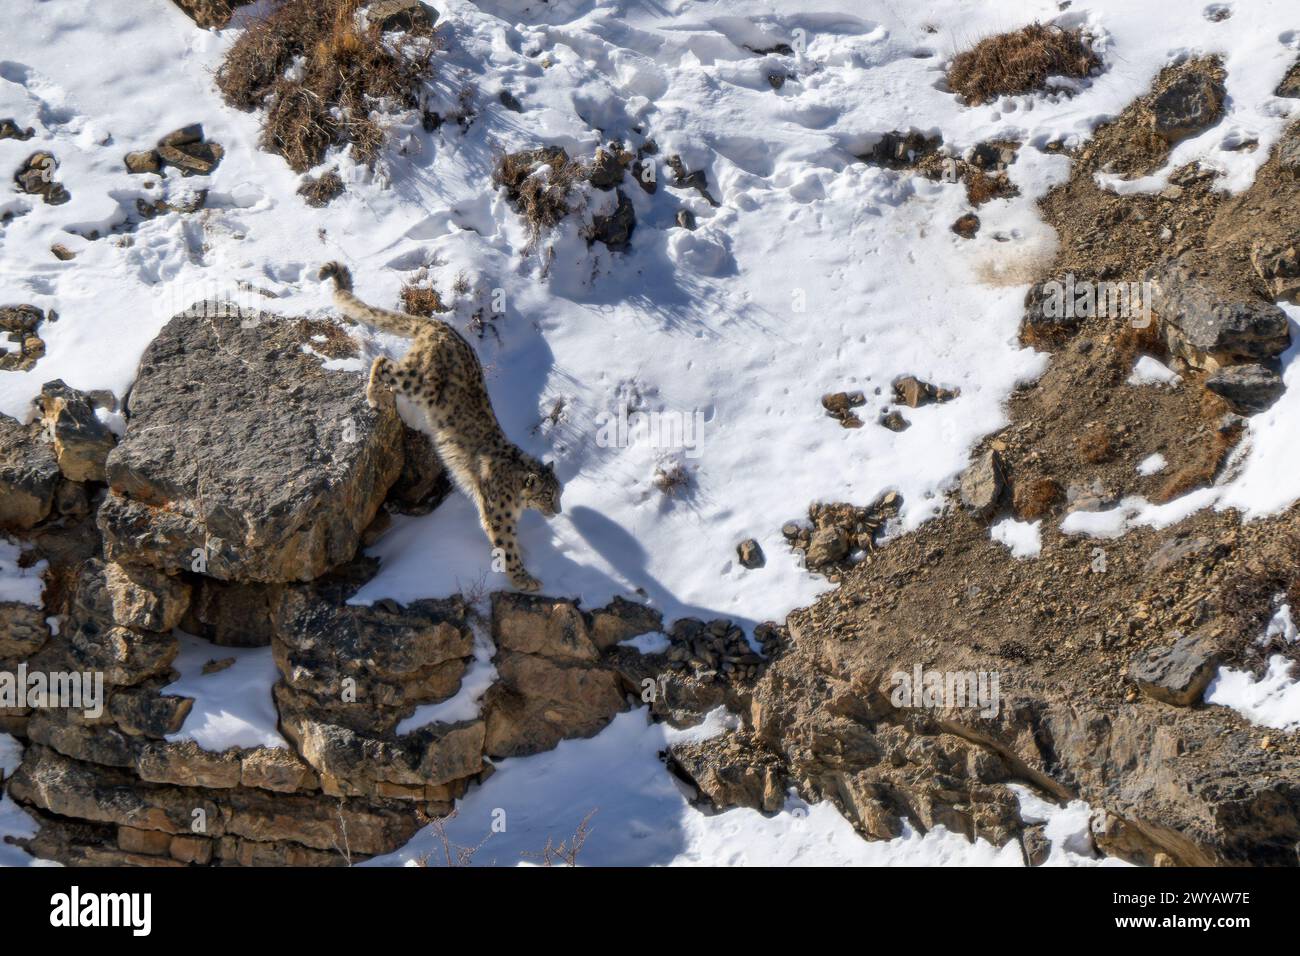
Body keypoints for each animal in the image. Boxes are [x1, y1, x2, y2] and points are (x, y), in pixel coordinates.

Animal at [320, 262, 561, 592]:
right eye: (548, 495)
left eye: (558, 492)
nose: (558, 511)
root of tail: (438, 325)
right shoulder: (498, 514)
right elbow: (506, 547)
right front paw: (523, 579)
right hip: (421, 384)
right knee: (383, 361)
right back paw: (375, 397)